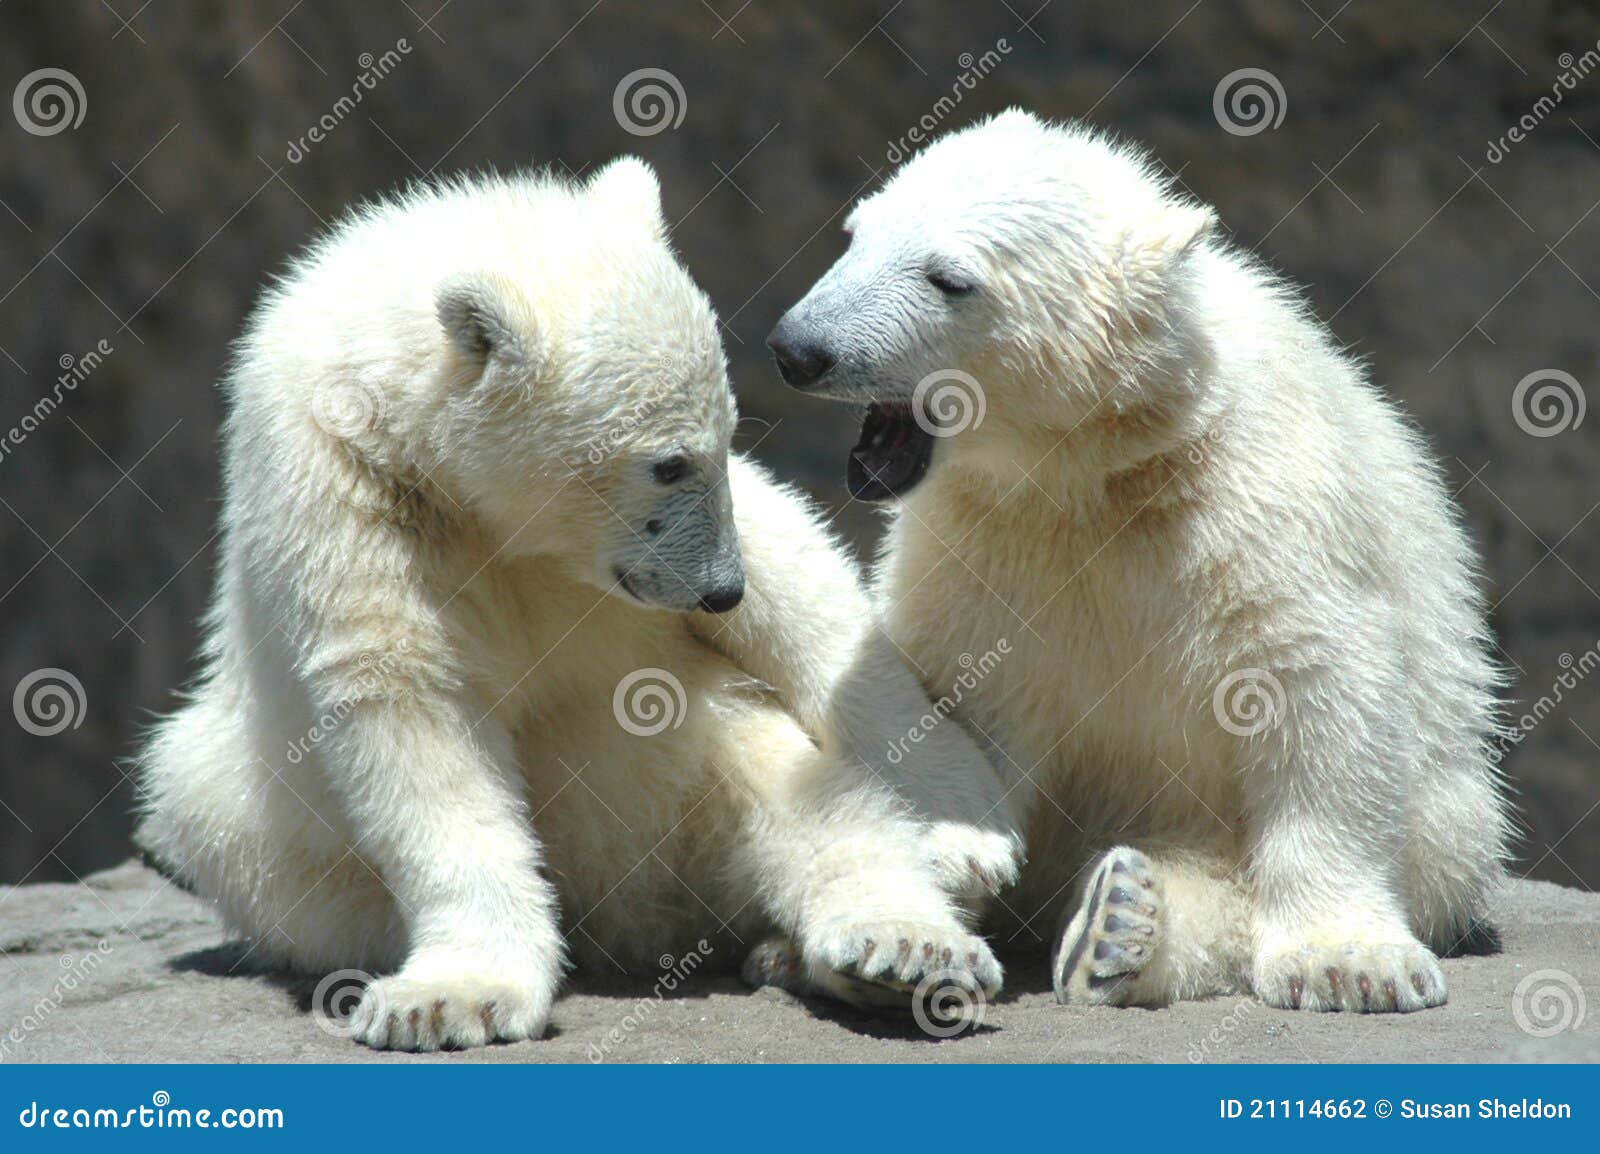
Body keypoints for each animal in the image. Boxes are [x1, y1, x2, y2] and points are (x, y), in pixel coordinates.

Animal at [133, 157, 1022, 1051]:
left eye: (723, 436)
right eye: (666, 462)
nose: (718, 589)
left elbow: (806, 597)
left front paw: (969, 831)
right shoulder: (351, 507)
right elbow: (414, 717)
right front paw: (448, 999)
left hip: (694, 757)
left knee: (797, 789)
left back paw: (898, 951)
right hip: (252, 819)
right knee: (203, 801)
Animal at [765, 110, 1509, 1014]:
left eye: (950, 278)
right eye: (856, 236)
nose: (798, 349)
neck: (1099, 467)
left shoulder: (1265, 502)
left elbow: (1317, 686)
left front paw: (1348, 962)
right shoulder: (982, 541)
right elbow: (952, 695)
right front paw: (951, 857)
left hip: (1449, 812)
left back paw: (1120, 924)